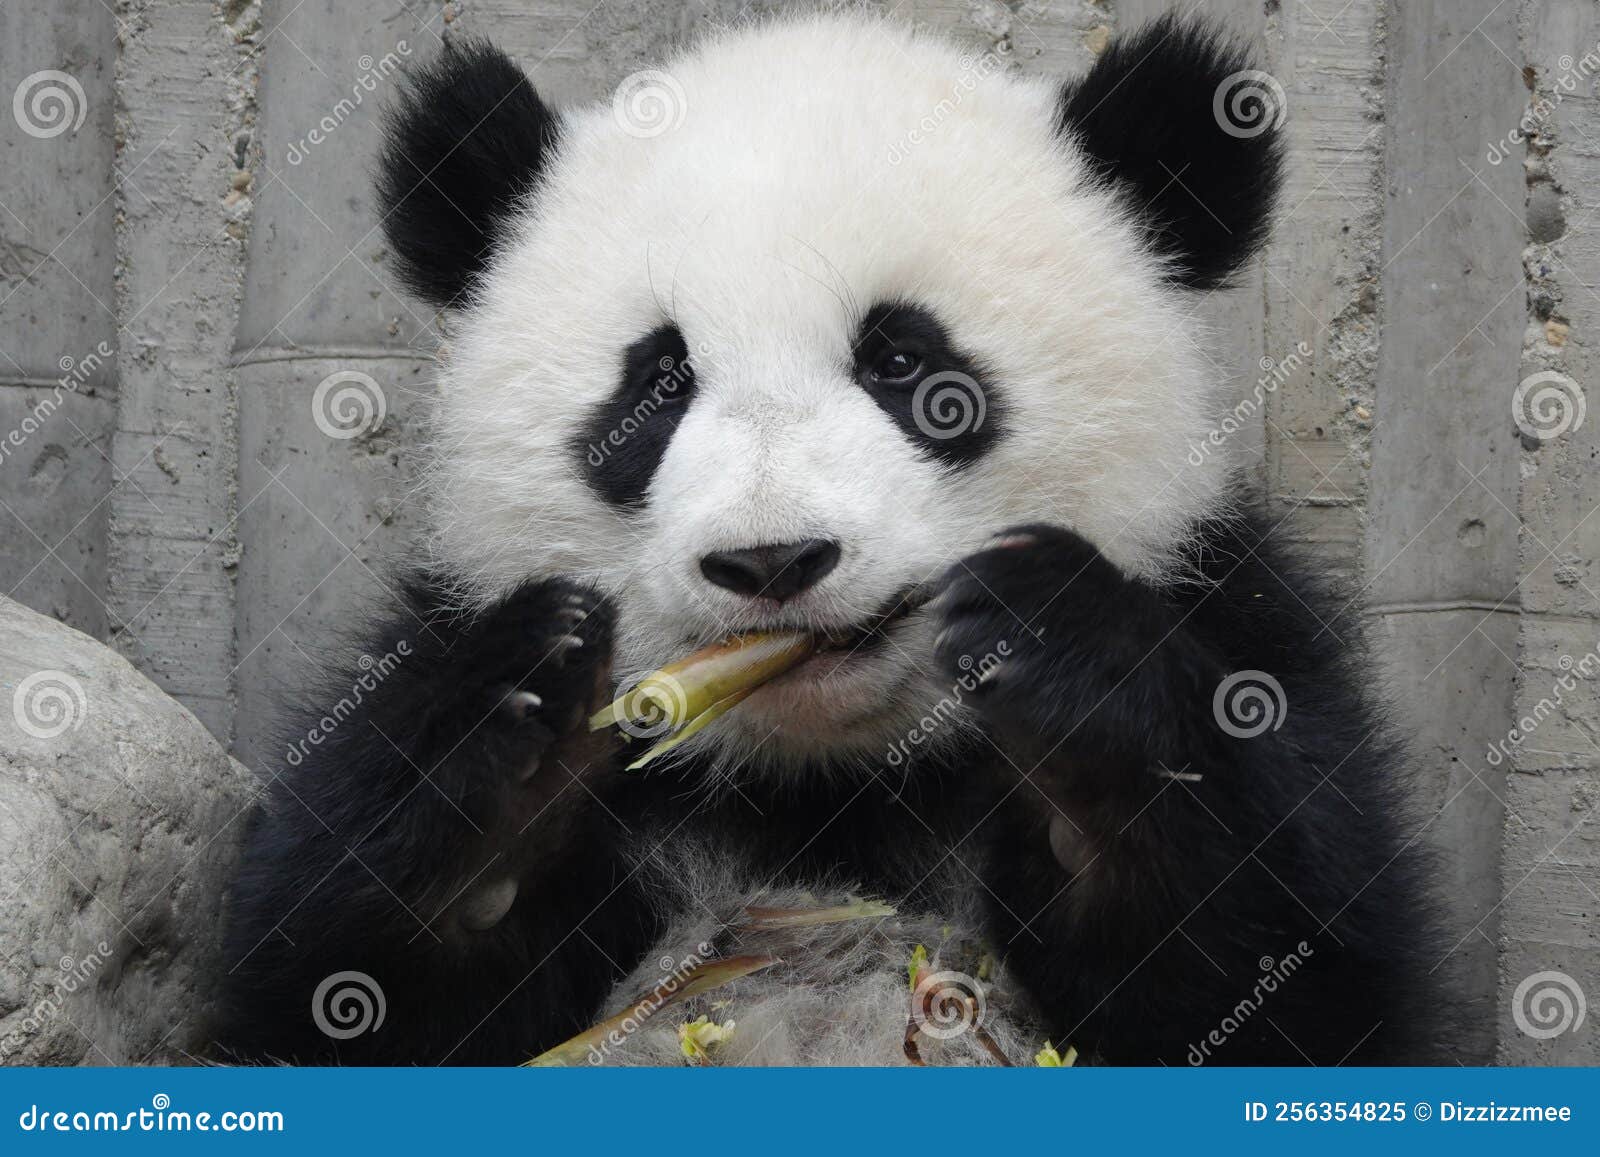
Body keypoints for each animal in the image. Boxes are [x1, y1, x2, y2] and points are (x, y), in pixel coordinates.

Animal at [218, 11, 1455, 1067]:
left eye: (904, 363)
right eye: (657, 383)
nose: (772, 561)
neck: (828, 783)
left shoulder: (1236, 614)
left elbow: (1286, 975)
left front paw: (1068, 678)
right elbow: (341, 985)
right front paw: (509, 723)